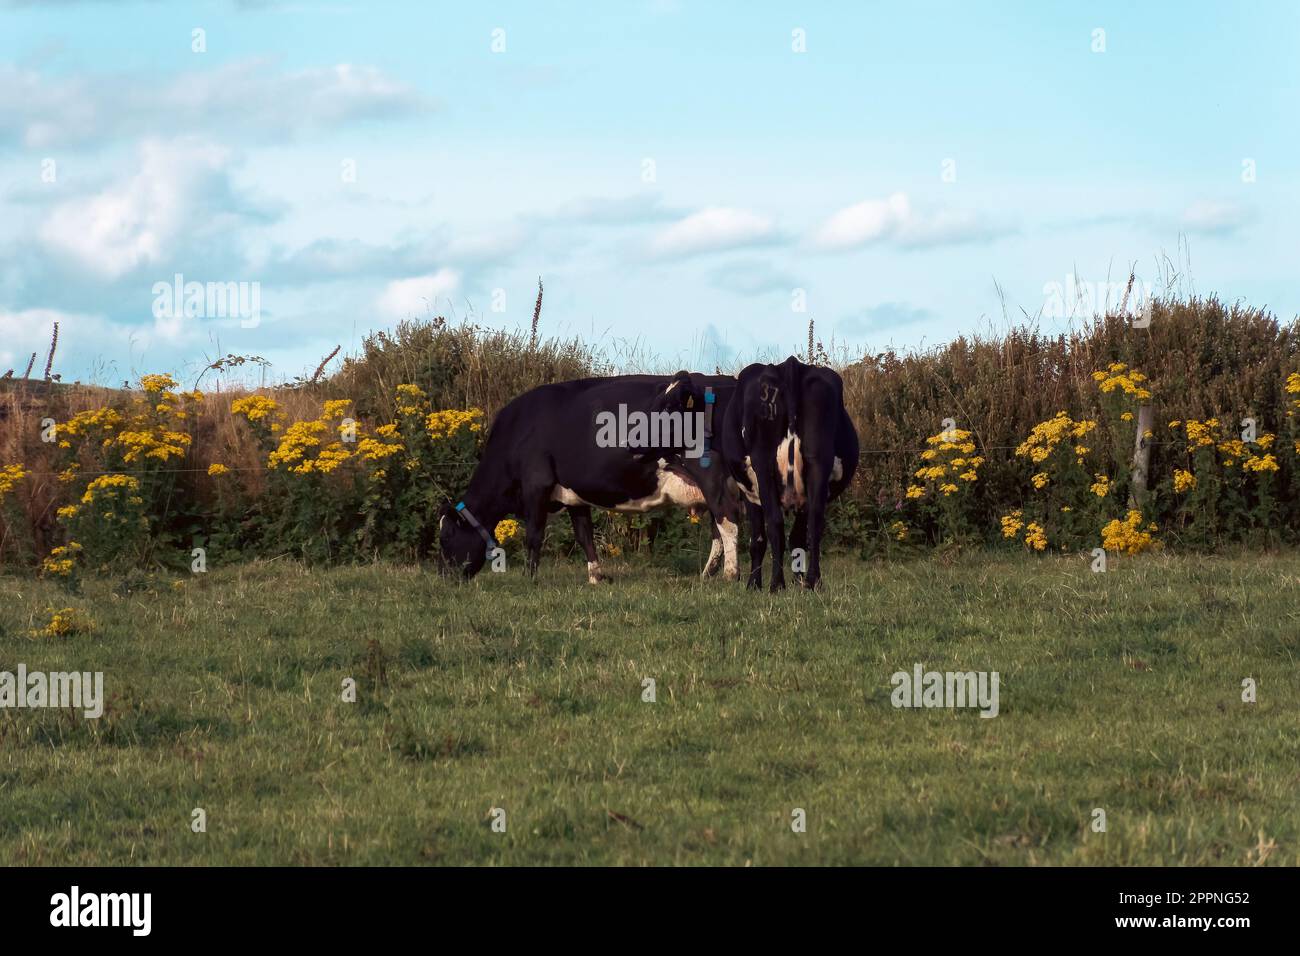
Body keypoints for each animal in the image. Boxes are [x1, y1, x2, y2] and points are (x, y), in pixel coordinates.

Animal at [437, 372, 745, 582]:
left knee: (727, 520)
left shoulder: (536, 485)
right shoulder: (574, 496)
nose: (444, 577)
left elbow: (534, 534)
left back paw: (730, 574)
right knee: (718, 528)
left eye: (446, 537)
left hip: (709, 475)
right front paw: (596, 576)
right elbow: (584, 535)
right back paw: (708, 574)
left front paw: (529, 577)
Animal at [719, 356, 859, 591]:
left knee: (775, 523)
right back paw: (813, 581)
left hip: (763, 465)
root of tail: (790, 365)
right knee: (815, 521)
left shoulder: (750, 493)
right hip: (818, 461)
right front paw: (799, 580)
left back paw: (777, 584)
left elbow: (758, 540)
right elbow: (798, 537)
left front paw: (754, 584)